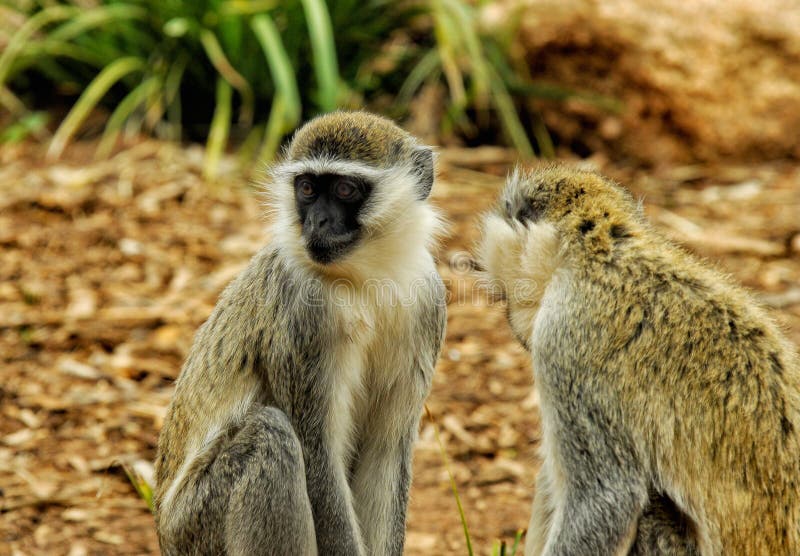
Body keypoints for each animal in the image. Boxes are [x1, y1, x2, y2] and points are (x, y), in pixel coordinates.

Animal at [153, 111, 447, 555]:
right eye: (307, 188)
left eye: (344, 189)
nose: (316, 222)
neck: (367, 280)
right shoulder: (302, 312)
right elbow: (315, 450)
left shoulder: (428, 302)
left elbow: (386, 448)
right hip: (195, 527)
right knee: (269, 437)